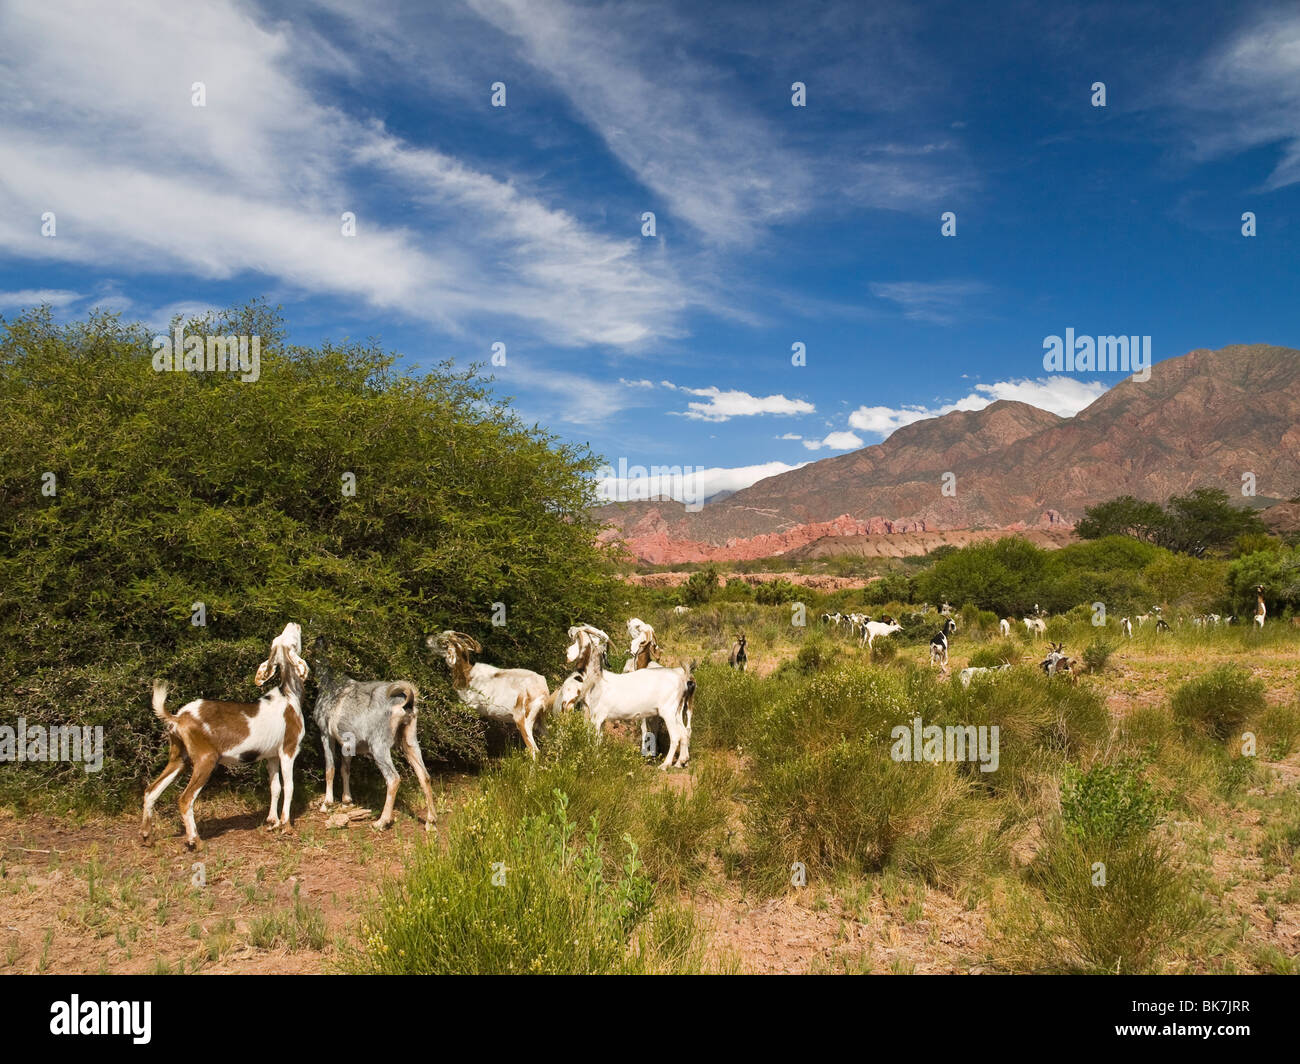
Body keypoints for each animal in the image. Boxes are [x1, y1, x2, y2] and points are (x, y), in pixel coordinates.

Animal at [141, 622, 309, 850]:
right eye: (292, 641)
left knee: (151, 790)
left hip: (179, 757)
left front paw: (272, 822)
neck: (289, 695)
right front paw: (286, 826)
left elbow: (275, 787)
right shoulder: (288, 750)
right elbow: (289, 786)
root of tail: (179, 717)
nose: (294, 624)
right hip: (206, 759)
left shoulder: (271, 755)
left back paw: (146, 836)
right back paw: (195, 841)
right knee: (185, 799)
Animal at [311, 637, 435, 832]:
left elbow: (330, 768)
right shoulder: (348, 743)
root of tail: (406, 702)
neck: (327, 682)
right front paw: (347, 802)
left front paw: (326, 804)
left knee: (393, 778)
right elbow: (345, 769)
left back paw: (381, 822)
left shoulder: (325, 733)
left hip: (379, 745)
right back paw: (431, 822)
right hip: (409, 739)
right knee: (425, 775)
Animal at [427, 631, 549, 759]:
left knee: (534, 750)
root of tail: (543, 690)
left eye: (444, 642)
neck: (467, 676)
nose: (428, 640)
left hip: (523, 721)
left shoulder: (470, 705)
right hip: (541, 722)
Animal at [560, 625, 692, 768]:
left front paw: (593, 760)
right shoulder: (599, 719)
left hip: (667, 712)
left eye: (578, 638)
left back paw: (665, 765)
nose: (566, 653)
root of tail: (682, 679)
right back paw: (681, 762)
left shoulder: (597, 717)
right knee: (684, 733)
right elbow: (599, 739)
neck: (597, 680)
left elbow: (594, 739)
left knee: (675, 735)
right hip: (677, 711)